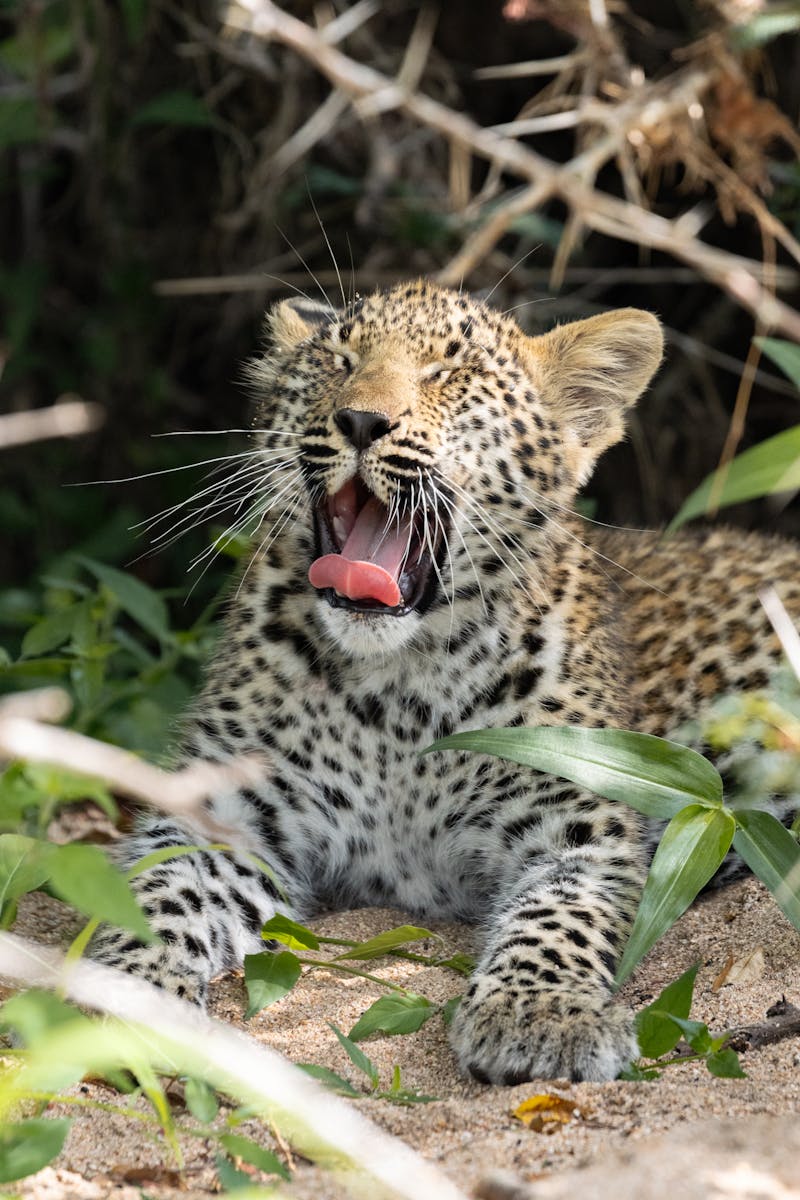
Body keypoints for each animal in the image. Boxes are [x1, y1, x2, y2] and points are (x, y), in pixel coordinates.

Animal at [90, 279, 800, 1084]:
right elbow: (159, 892)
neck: (398, 688)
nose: (361, 420)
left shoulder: (579, 825)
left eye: (449, 374)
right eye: (339, 361)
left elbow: (559, 917)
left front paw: (540, 1015)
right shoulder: (224, 812)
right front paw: (126, 992)